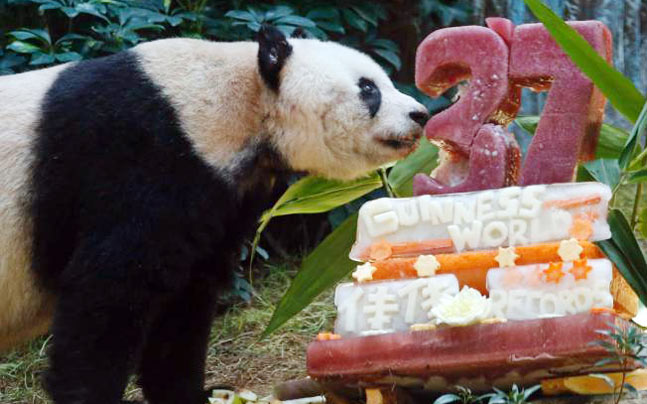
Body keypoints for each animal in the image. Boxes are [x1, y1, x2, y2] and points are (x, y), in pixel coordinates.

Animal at [0, 26, 428, 404]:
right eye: (368, 88)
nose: (420, 115)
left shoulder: (218, 199)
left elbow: (186, 300)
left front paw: (194, 394)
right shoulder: (136, 159)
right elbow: (108, 288)